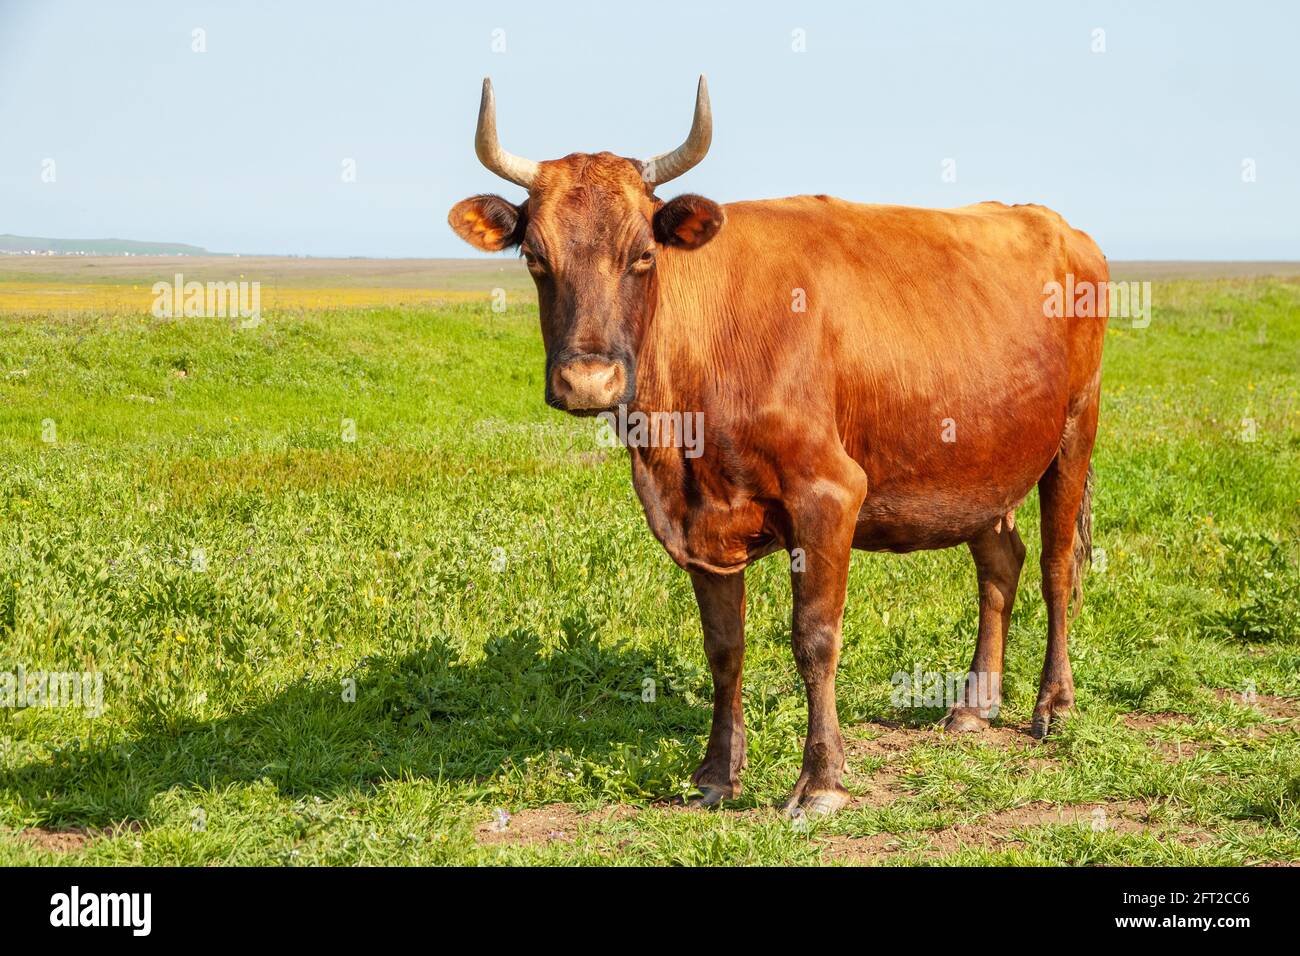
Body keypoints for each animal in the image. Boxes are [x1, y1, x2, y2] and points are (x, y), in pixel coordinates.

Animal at [449, 77, 1107, 816]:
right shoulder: (697, 517)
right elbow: (723, 647)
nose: (588, 379)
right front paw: (716, 772)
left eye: (642, 255)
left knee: (1056, 565)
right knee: (1000, 562)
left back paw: (1053, 704)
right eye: (536, 258)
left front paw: (821, 779)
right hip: (982, 464)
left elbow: (814, 638)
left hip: (1075, 431)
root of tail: (1056, 224)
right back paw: (974, 704)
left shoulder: (829, 496)